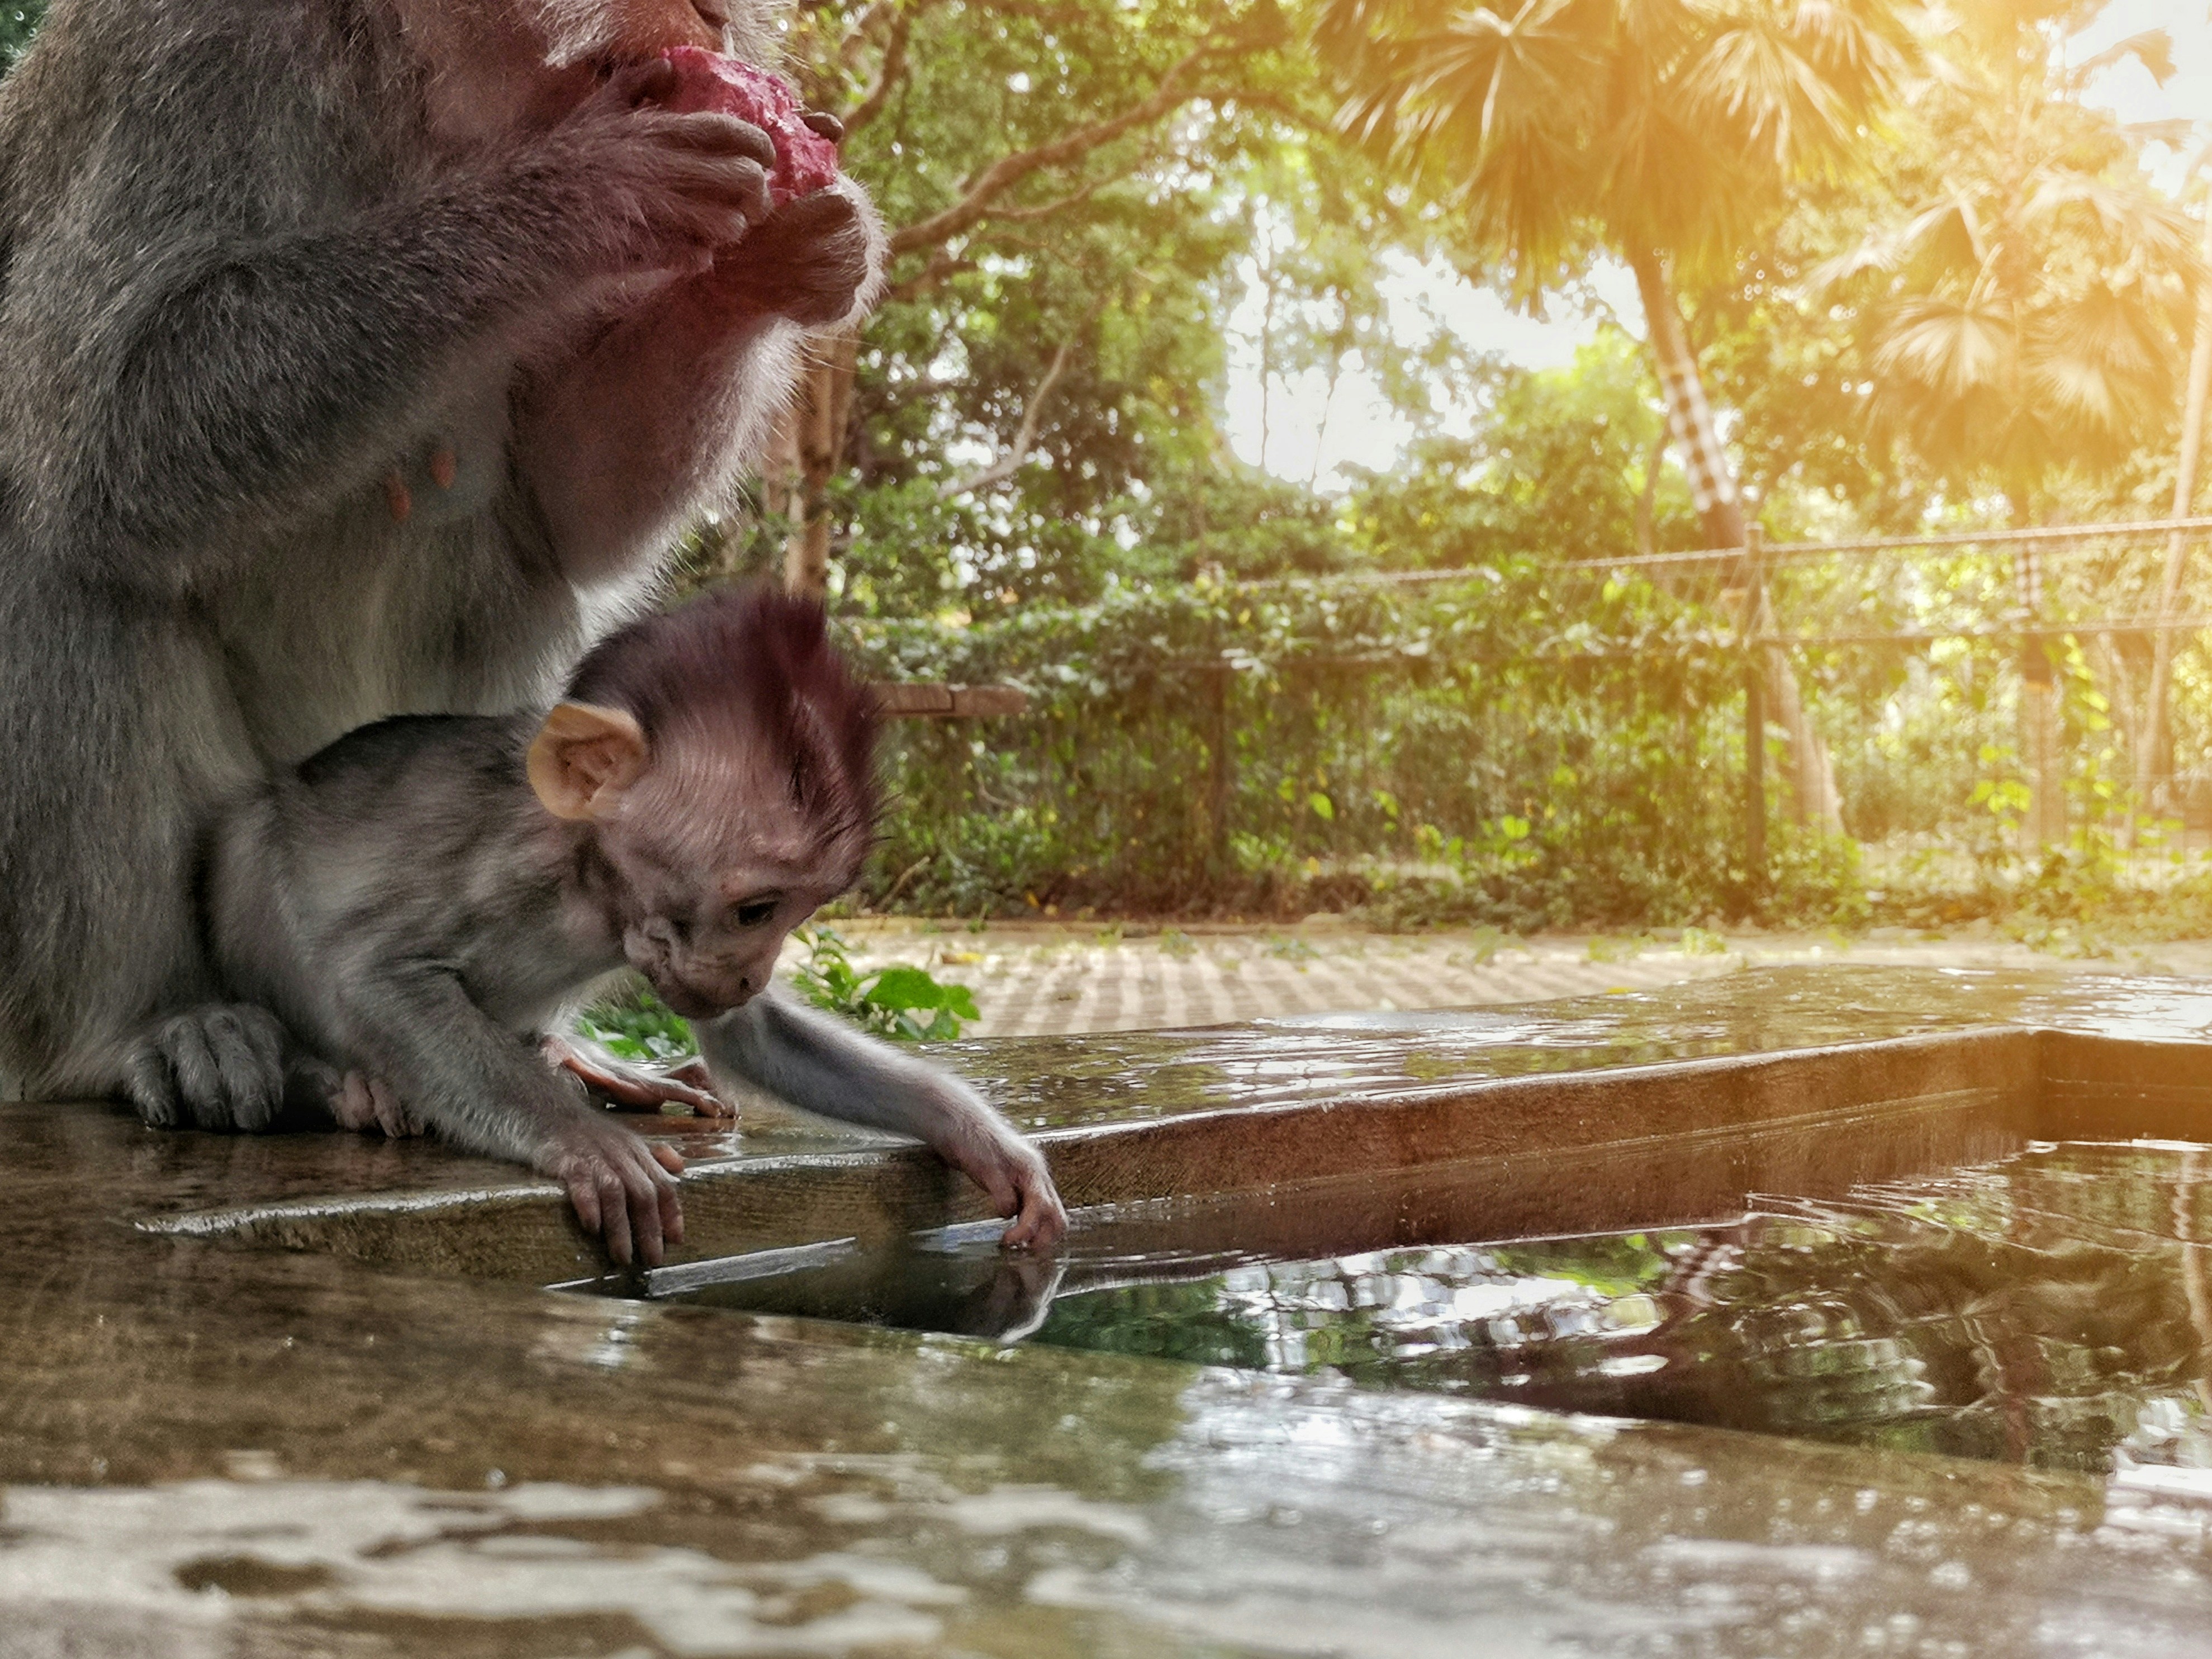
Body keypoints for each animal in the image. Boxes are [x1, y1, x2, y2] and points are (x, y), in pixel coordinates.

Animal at [0, 1, 909, 1133]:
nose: (710, 17)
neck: (406, 96)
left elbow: (572, 508)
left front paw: (785, 252)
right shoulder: (186, 66)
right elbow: (108, 423)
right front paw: (584, 194)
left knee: (517, 574)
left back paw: (539, 1044)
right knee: (62, 558)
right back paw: (152, 1024)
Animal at [203, 587, 1069, 1267]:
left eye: (799, 913)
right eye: (757, 910)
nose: (754, 969)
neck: (591, 887)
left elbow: (747, 1033)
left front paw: (979, 1135)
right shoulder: (504, 867)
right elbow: (376, 976)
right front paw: (587, 1144)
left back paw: (577, 1062)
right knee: (251, 845)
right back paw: (350, 1090)